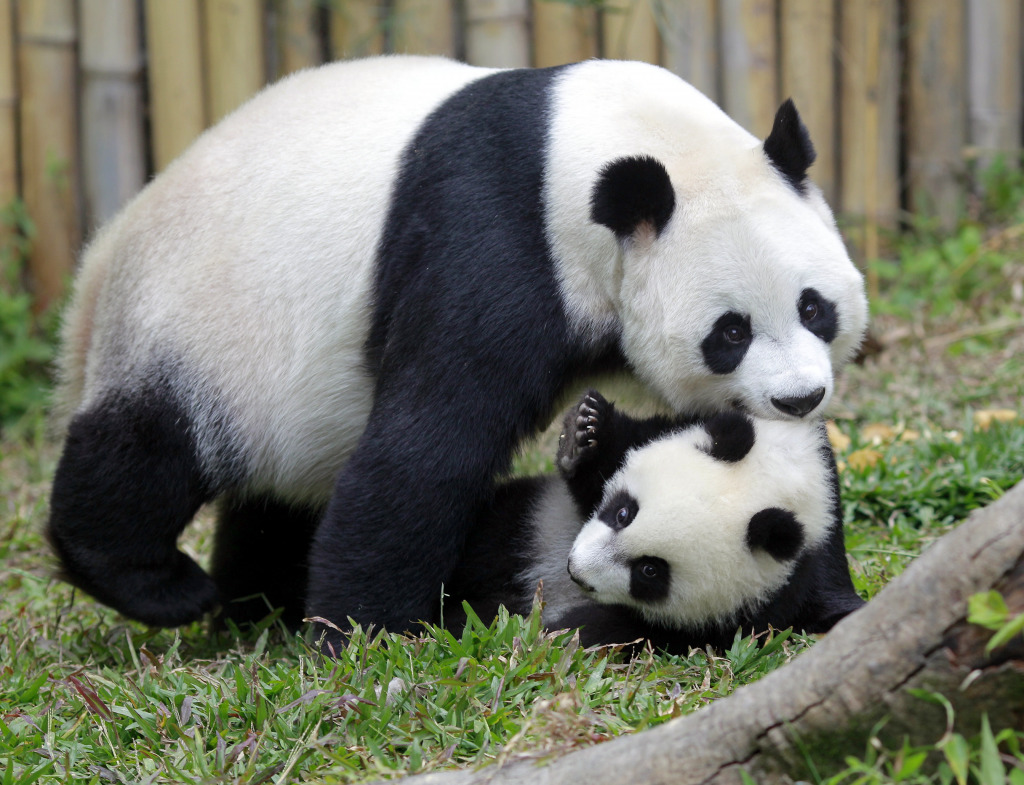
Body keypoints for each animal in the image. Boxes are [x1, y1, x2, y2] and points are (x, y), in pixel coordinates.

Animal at [444, 391, 864, 651]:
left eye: (650, 571)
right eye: (623, 513)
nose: (576, 572)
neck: (801, 478)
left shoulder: (782, 596)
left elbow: (641, 631)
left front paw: (556, 632)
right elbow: (623, 447)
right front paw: (585, 430)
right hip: (534, 519)